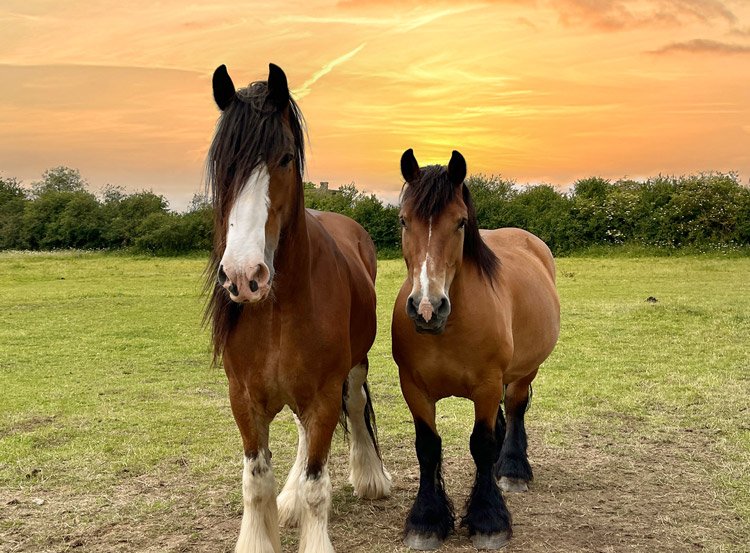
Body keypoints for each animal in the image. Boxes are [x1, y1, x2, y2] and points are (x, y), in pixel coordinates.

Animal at [205, 63, 391, 553]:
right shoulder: (244, 399)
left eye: (286, 157)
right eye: (222, 162)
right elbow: (256, 482)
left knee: (354, 403)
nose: (243, 275)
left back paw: (370, 476)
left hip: (354, 366)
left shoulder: (324, 394)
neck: (275, 312)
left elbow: (316, 485)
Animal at [391, 149, 560, 550]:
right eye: (404, 220)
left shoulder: (486, 386)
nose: (427, 307)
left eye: (460, 223)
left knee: (514, 410)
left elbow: (482, 444)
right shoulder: (414, 388)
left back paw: (512, 469)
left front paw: (489, 521)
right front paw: (426, 520)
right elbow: (427, 447)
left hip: (523, 372)